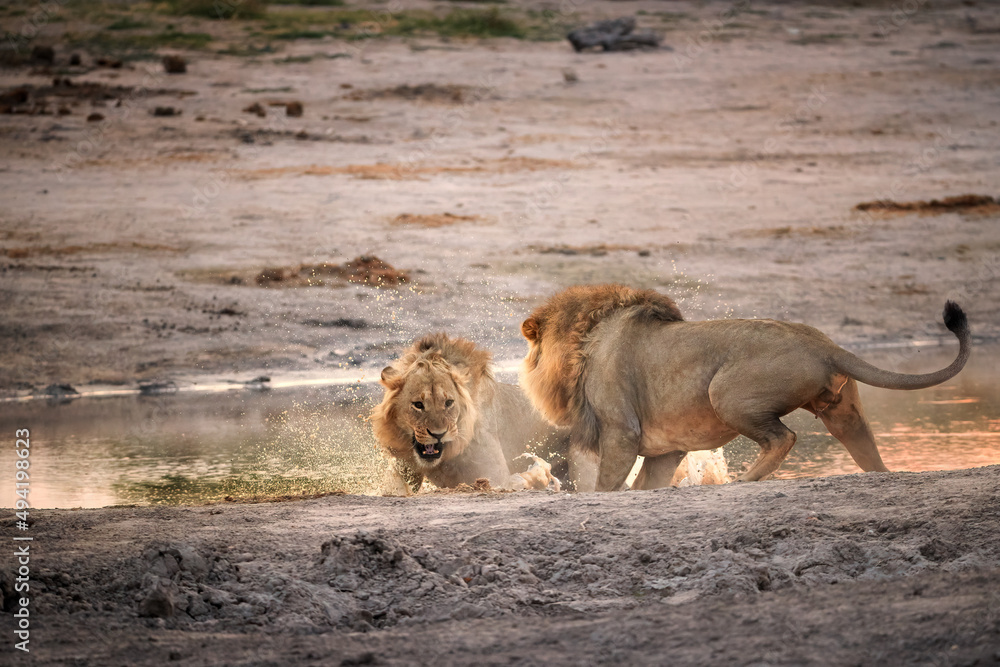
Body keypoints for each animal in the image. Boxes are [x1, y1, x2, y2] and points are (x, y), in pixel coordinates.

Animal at [519, 284, 971, 491]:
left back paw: (744, 480)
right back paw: (882, 474)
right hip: (844, 412)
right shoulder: (666, 449)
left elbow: (608, 485)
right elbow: (648, 483)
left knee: (783, 437)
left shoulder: (621, 432)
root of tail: (825, 345)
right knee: (866, 452)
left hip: (726, 395)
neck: (584, 338)